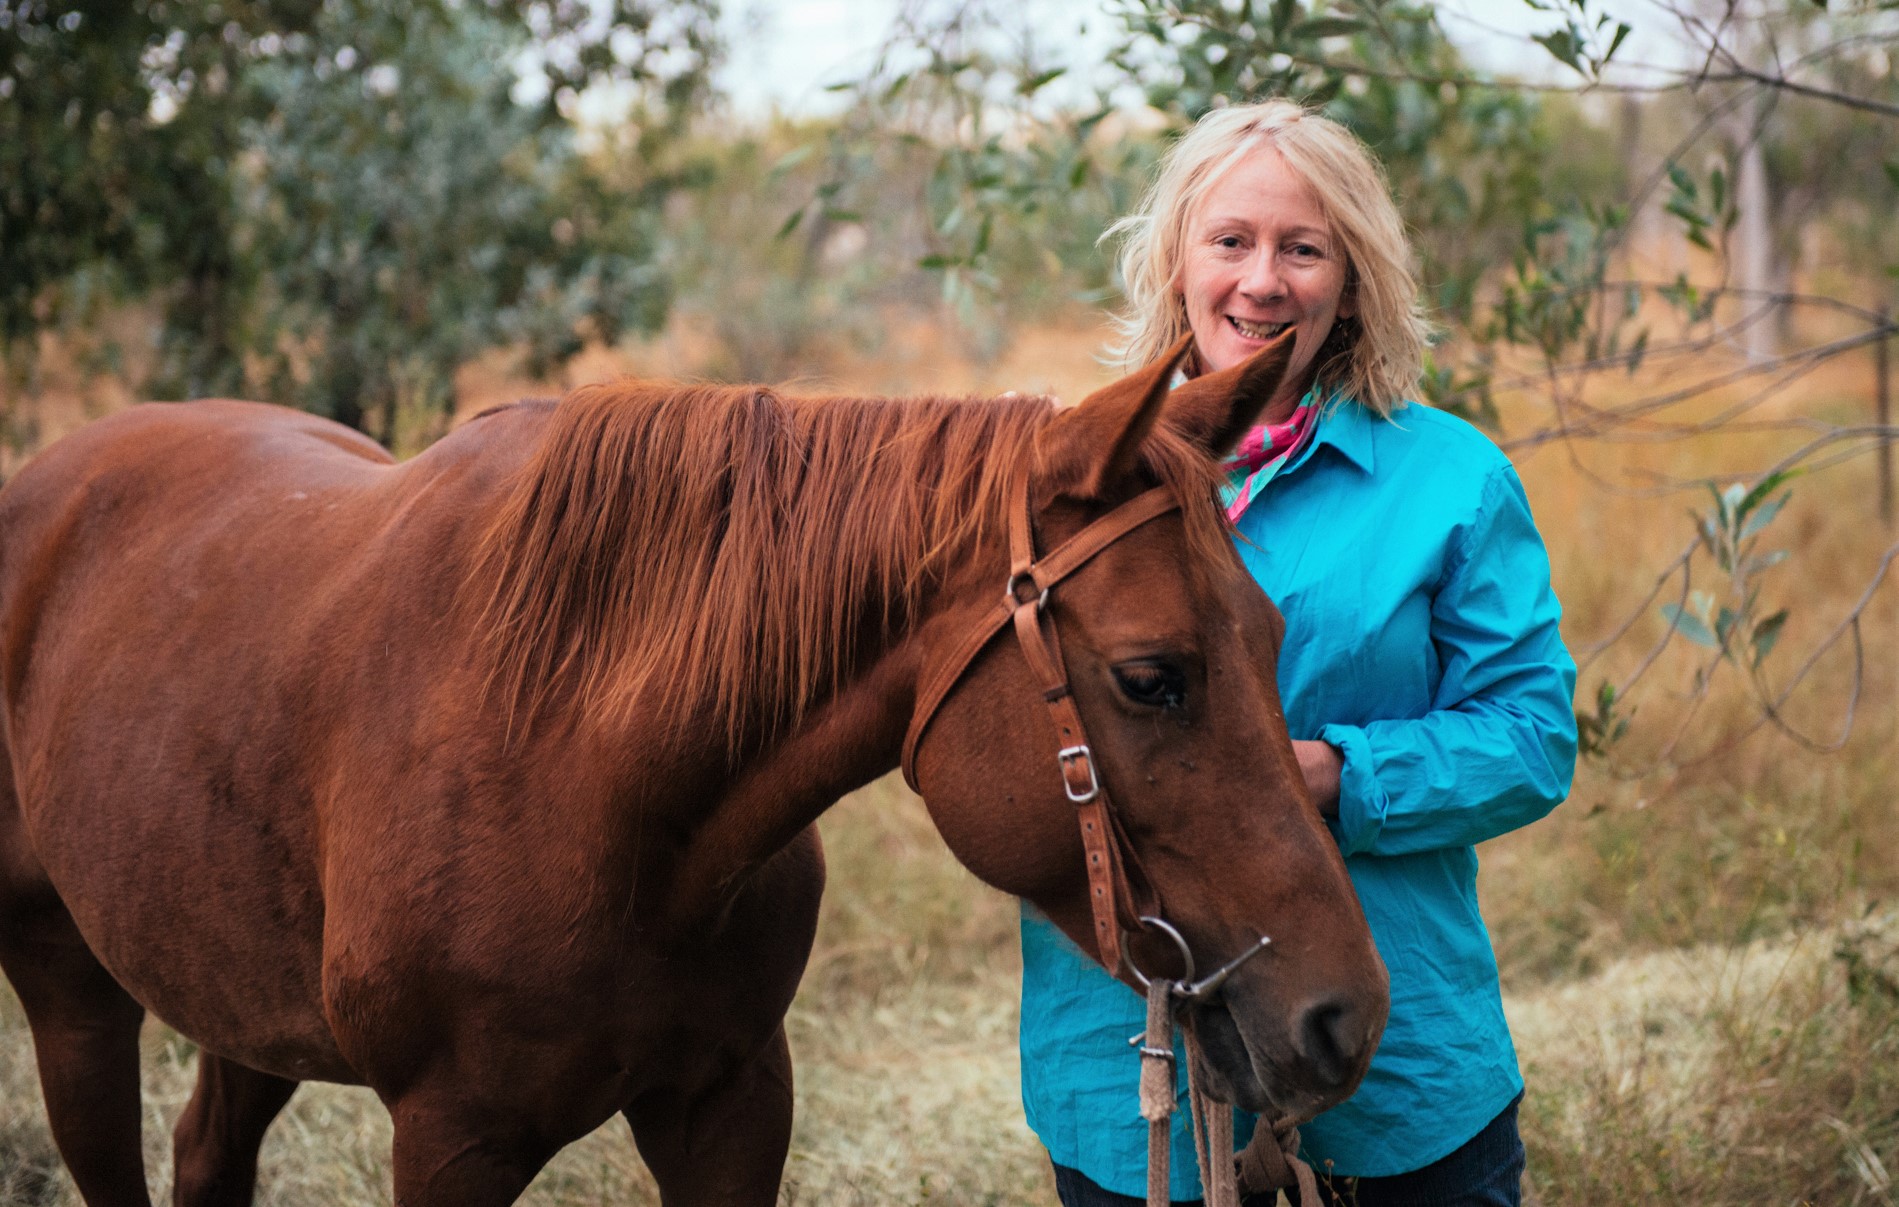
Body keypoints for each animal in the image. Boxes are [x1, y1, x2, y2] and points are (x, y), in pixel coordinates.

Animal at [0, 334, 1387, 1206]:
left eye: (1271, 635)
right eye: (1154, 676)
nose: (1347, 1016)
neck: (593, 780)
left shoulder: (729, 1104)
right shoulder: (449, 1139)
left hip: (246, 1001)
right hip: (72, 990)